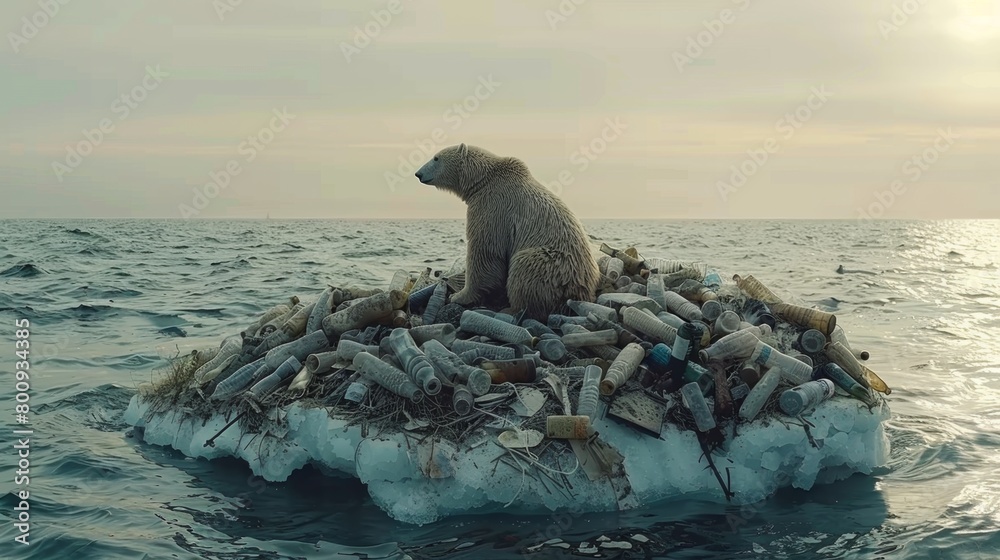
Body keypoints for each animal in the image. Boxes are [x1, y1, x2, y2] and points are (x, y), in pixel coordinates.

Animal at [414, 143, 600, 319]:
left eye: (436, 158)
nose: (418, 174)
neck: (483, 180)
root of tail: (581, 290)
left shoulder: (493, 205)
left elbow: (484, 252)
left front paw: (459, 296)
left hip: (552, 264)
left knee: (523, 266)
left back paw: (512, 309)